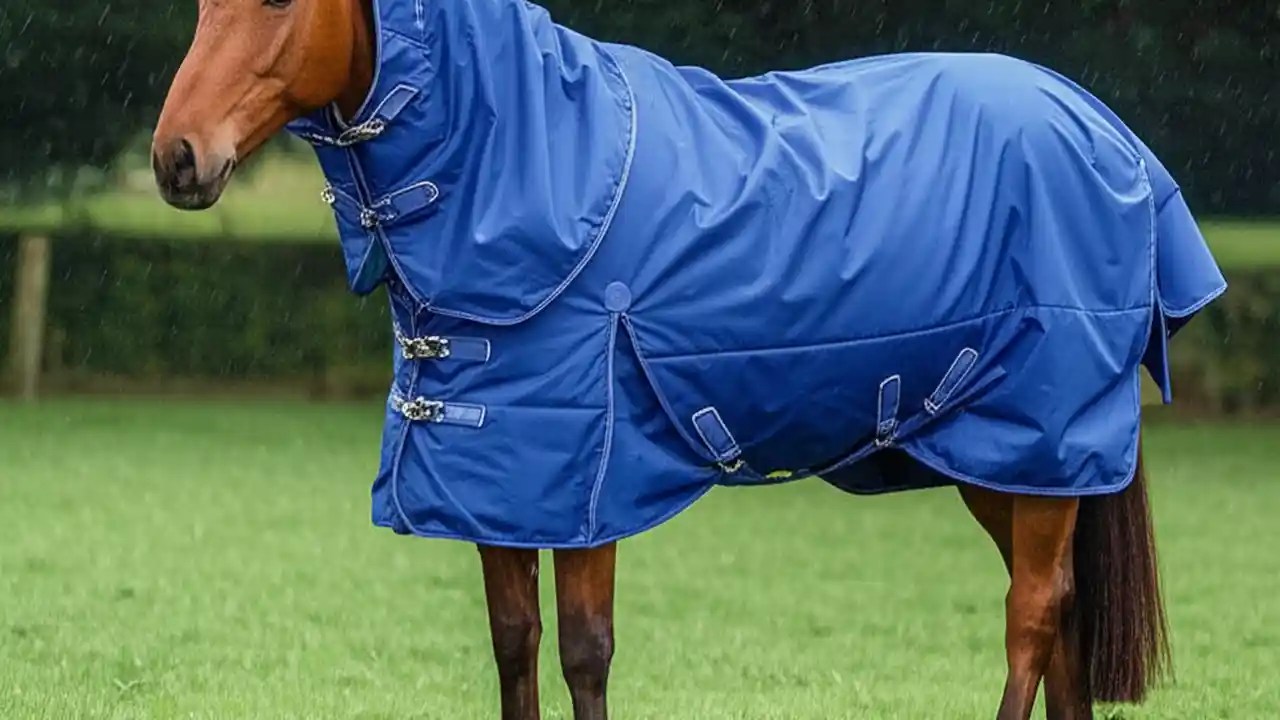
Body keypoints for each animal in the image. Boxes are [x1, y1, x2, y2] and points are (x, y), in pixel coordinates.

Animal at [152, 1, 1227, 718]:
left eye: (281, 0)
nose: (177, 158)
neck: (540, 172)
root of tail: (1103, 127)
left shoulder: (590, 480)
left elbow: (585, 652)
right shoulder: (499, 489)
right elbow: (515, 645)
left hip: (1039, 441)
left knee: (1033, 617)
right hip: (1004, 463)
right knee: (1068, 621)